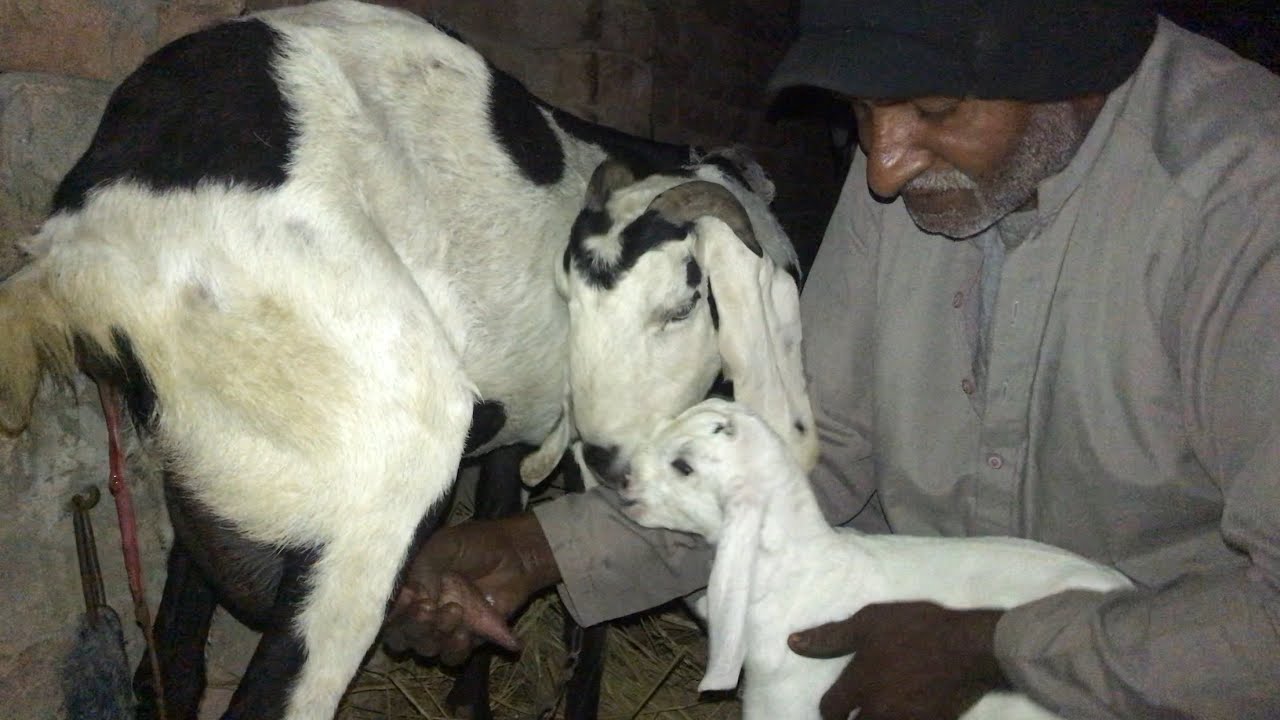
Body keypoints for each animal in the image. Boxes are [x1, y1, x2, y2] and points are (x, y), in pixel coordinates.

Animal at [0, 2, 815, 718]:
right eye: (685, 302)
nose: (609, 454)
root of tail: (82, 243)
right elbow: (591, 625)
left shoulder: (521, 436)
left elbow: (503, 514)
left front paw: (471, 692)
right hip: (379, 451)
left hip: (216, 464)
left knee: (171, 661)